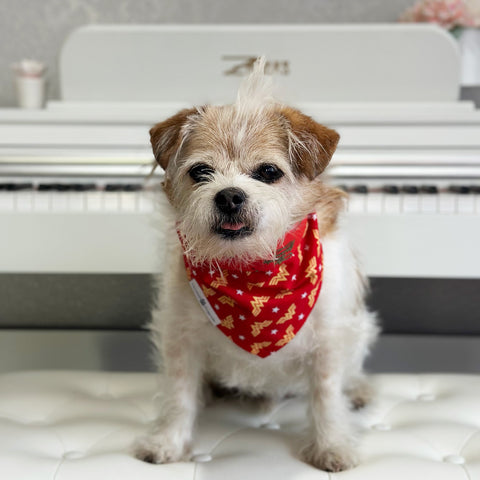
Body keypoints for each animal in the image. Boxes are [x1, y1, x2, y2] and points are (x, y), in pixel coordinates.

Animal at [132, 57, 378, 472]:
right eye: (201, 172)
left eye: (268, 172)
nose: (230, 196)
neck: (250, 271)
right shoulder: (180, 337)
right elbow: (178, 394)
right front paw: (168, 441)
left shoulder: (328, 342)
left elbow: (327, 398)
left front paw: (331, 446)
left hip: (358, 329)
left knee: (351, 370)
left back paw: (358, 389)